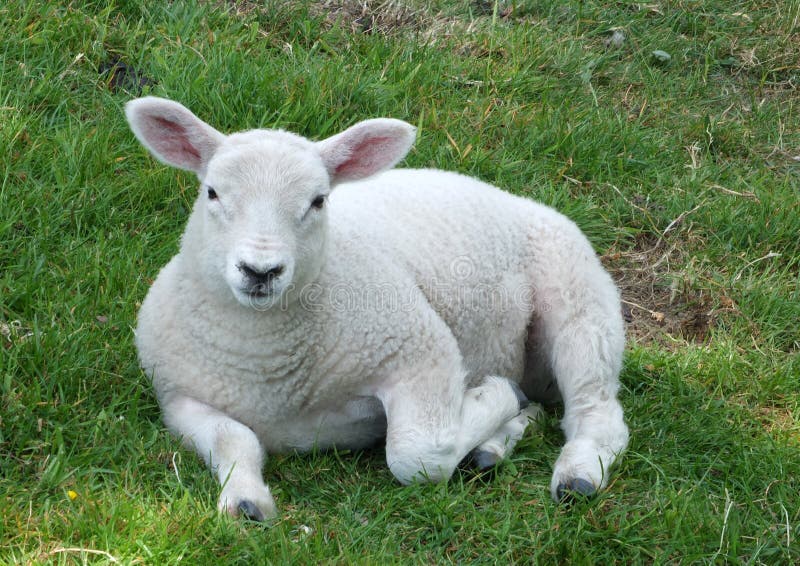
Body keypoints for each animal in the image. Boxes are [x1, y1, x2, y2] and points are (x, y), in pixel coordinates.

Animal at [125, 96, 629, 521]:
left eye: (318, 201)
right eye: (212, 193)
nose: (260, 270)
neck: (266, 369)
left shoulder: (419, 350)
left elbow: (419, 455)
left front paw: (494, 395)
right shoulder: (178, 398)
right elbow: (235, 440)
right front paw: (246, 503)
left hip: (579, 299)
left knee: (596, 409)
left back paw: (577, 474)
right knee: (545, 408)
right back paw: (494, 447)